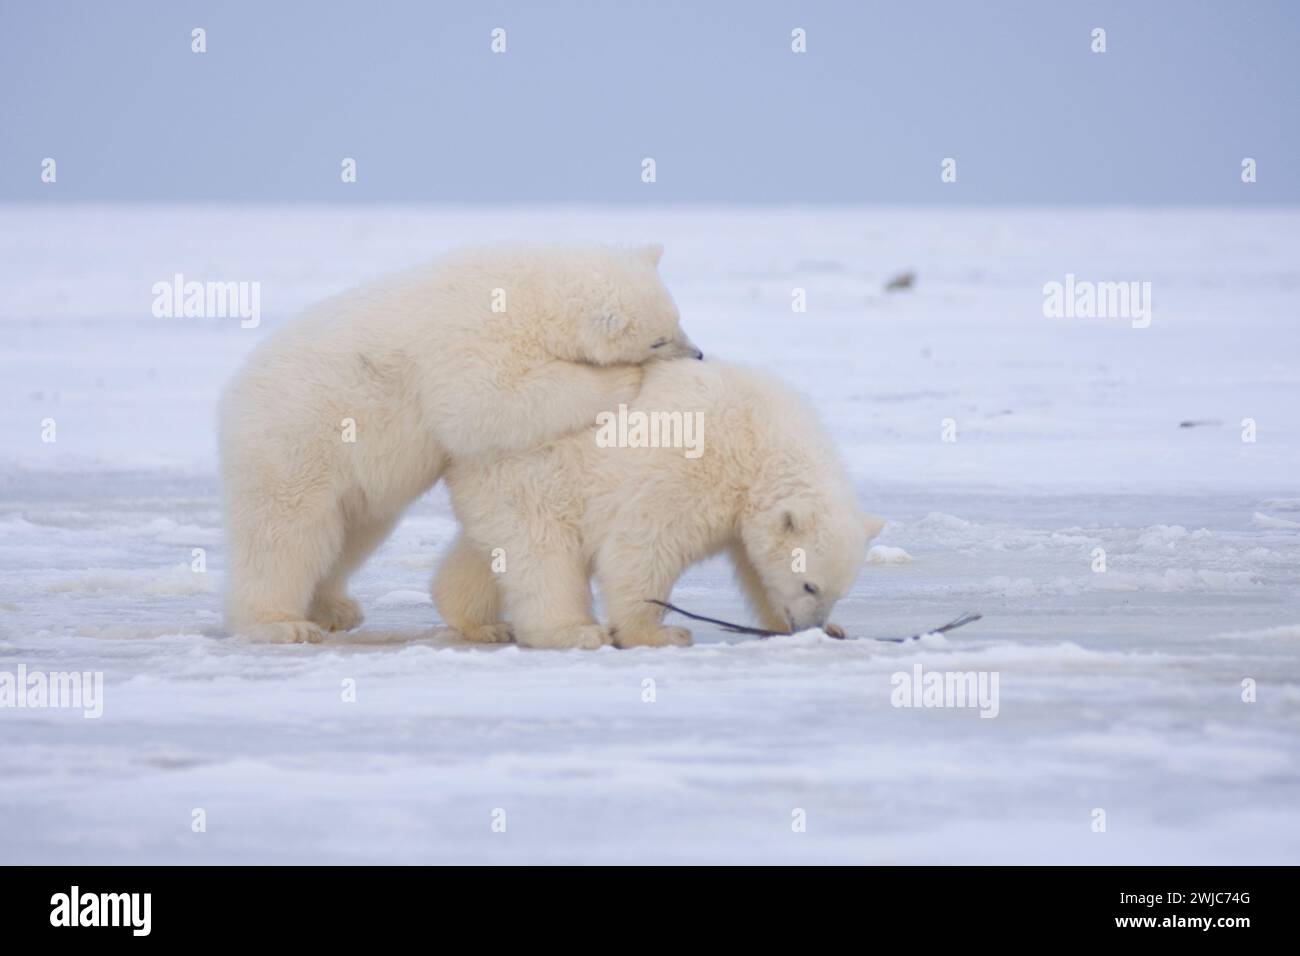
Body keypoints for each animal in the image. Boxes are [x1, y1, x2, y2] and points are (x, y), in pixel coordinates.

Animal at [219, 242, 700, 644]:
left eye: (678, 319)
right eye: (657, 338)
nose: (696, 355)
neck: (531, 292)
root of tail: (234, 396)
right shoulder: (474, 341)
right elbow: (486, 400)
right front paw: (623, 378)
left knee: (352, 531)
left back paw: (335, 607)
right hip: (298, 437)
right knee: (288, 533)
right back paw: (281, 623)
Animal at [433, 359, 883, 649]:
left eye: (840, 591)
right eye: (810, 585)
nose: (811, 627)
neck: (760, 436)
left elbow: (758, 571)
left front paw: (834, 627)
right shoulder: (693, 470)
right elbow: (646, 545)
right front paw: (657, 634)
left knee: (486, 552)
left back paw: (478, 622)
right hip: (533, 479)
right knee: (545, 558)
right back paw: (573, 632)